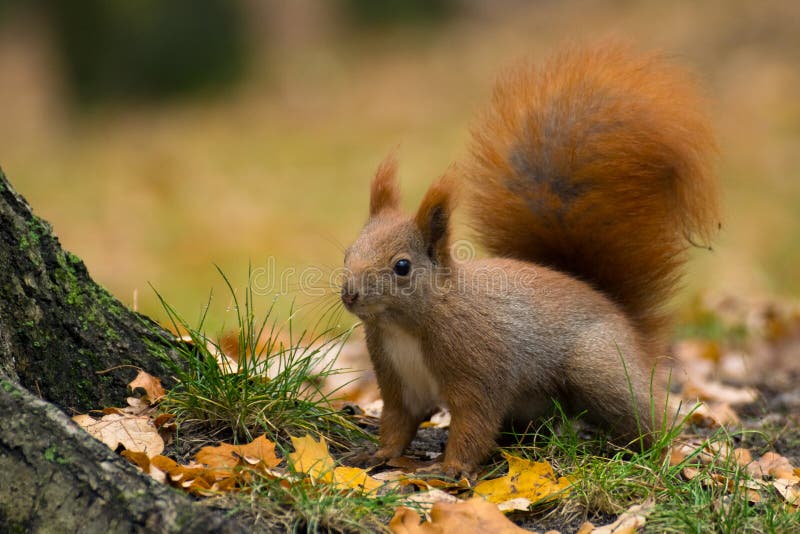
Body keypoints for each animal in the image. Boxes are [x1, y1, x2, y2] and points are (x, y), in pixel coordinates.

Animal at [341, 43, 719, 477]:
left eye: (402, 267)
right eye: (348, 252)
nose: (349, 295)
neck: (407, 326)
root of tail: (624, 318)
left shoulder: (478, 370)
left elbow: (473, 423)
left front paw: (450, 469)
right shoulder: (400, 383)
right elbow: (397, 422)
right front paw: (378, 455)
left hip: (598, 367)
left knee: (647, 415)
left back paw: (659, 453)